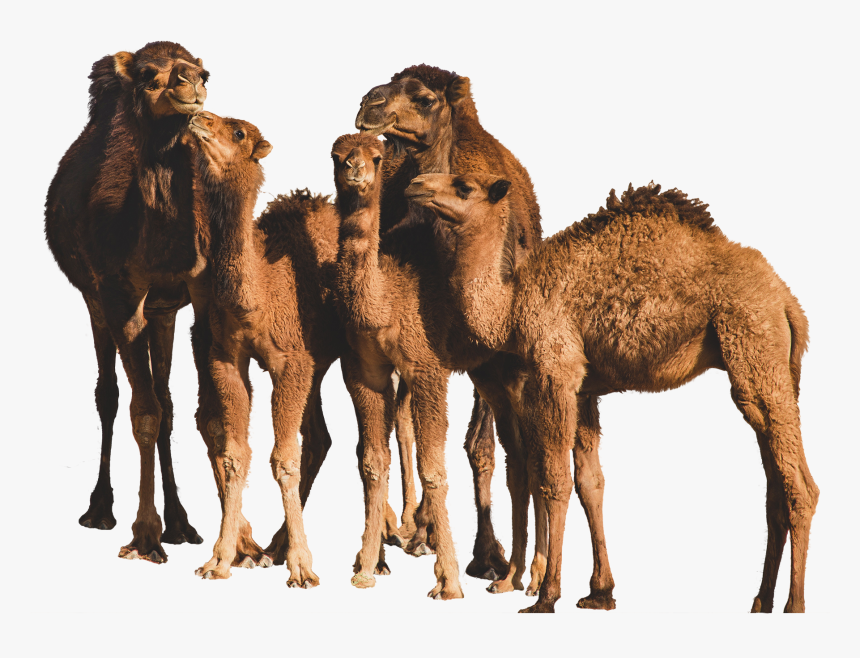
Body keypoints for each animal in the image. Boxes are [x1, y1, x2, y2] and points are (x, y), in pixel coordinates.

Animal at [45, 42, 217, 562]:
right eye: (146, 74)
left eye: (204, 72)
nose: (190, 82)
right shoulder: (120, 294)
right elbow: (143, 412)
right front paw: (145, 536)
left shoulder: (187, 300)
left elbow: (183, 410)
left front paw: (184, 527)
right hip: (95, 299)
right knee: (110, 395)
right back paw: (100, 511)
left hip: (157, 311)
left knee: (166, 401)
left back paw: (179, 521)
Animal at [356, 64, 542, 579]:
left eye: (423, 98)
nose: (369, 105)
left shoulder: (486, 350)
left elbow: (480, 446)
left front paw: (488, 557)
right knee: (400, 425)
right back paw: (399, 533)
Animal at [405, 173, 819, 613]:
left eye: (463, 187)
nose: (415, 185)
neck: (513, 305)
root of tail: (788, 303)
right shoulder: (585, 389)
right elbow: (591, 483)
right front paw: (599, 593)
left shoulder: (556, 370)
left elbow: (555, 481)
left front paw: (546, 596)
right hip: (769, 370)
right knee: (775, 487)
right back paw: (761, 601)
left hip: (754, 344)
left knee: (800, 487)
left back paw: (794, 604)